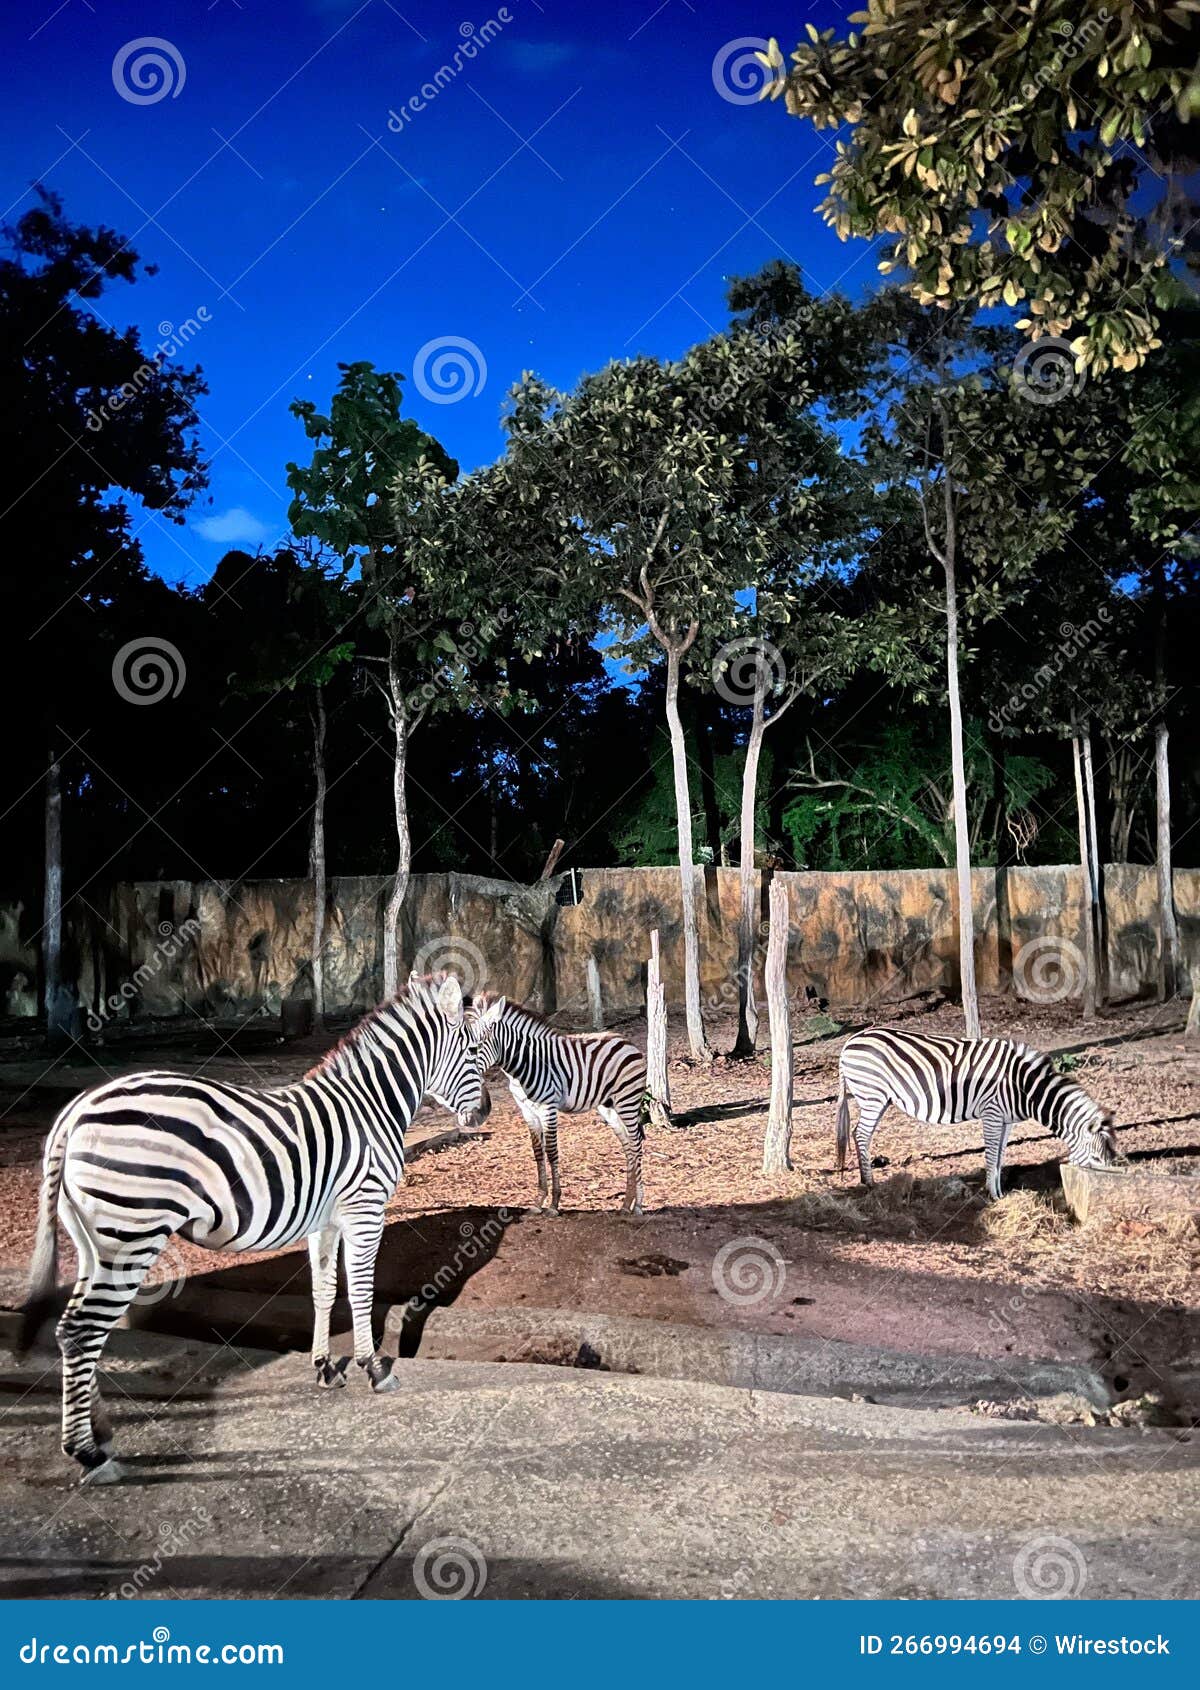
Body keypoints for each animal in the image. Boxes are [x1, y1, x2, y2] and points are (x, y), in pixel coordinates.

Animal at [20, 974, 502, 1485]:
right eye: (474, 1050)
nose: (486, 1113)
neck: (370, 1104)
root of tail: (76, 1110)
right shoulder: (365, 1209)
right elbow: (361, 1293)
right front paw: (374, 1369)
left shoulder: (326, 1220)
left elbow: (324, 1292)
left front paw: (325, 1368)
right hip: (132, 1233)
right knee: (82, 1330)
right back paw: (88, 1454)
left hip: (95, 1240)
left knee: (73, 1327)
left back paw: (101, 1433)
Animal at [467, 994, 647, 1214]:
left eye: (477, 1045)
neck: (524, 1065)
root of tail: (626, 1041)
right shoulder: (527, 1111)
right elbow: (538, 1152)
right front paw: (538, 1201)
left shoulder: (548, 1108)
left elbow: (552, 1151)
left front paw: (554, 1203)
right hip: (609, 1106)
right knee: (628, 1146)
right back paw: (626, 1204)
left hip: (627, 1100)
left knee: (636, 1144)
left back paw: (638, 1204)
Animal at [837, 1026, 1118, 1200]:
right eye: (1095, 1157)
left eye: (1109, 1157)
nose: (1105, 1193)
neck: (1023, 1086)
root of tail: (851, 1040)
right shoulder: (992, 1114)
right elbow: (991, 1155)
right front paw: (991, 1195)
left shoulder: (1007, 1121)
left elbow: (1001, 1156)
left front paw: (1000, 1193)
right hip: (872, 1095)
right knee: (861, 1134)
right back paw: (869, 1182)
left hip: (879, 1098)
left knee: (858, 1133)